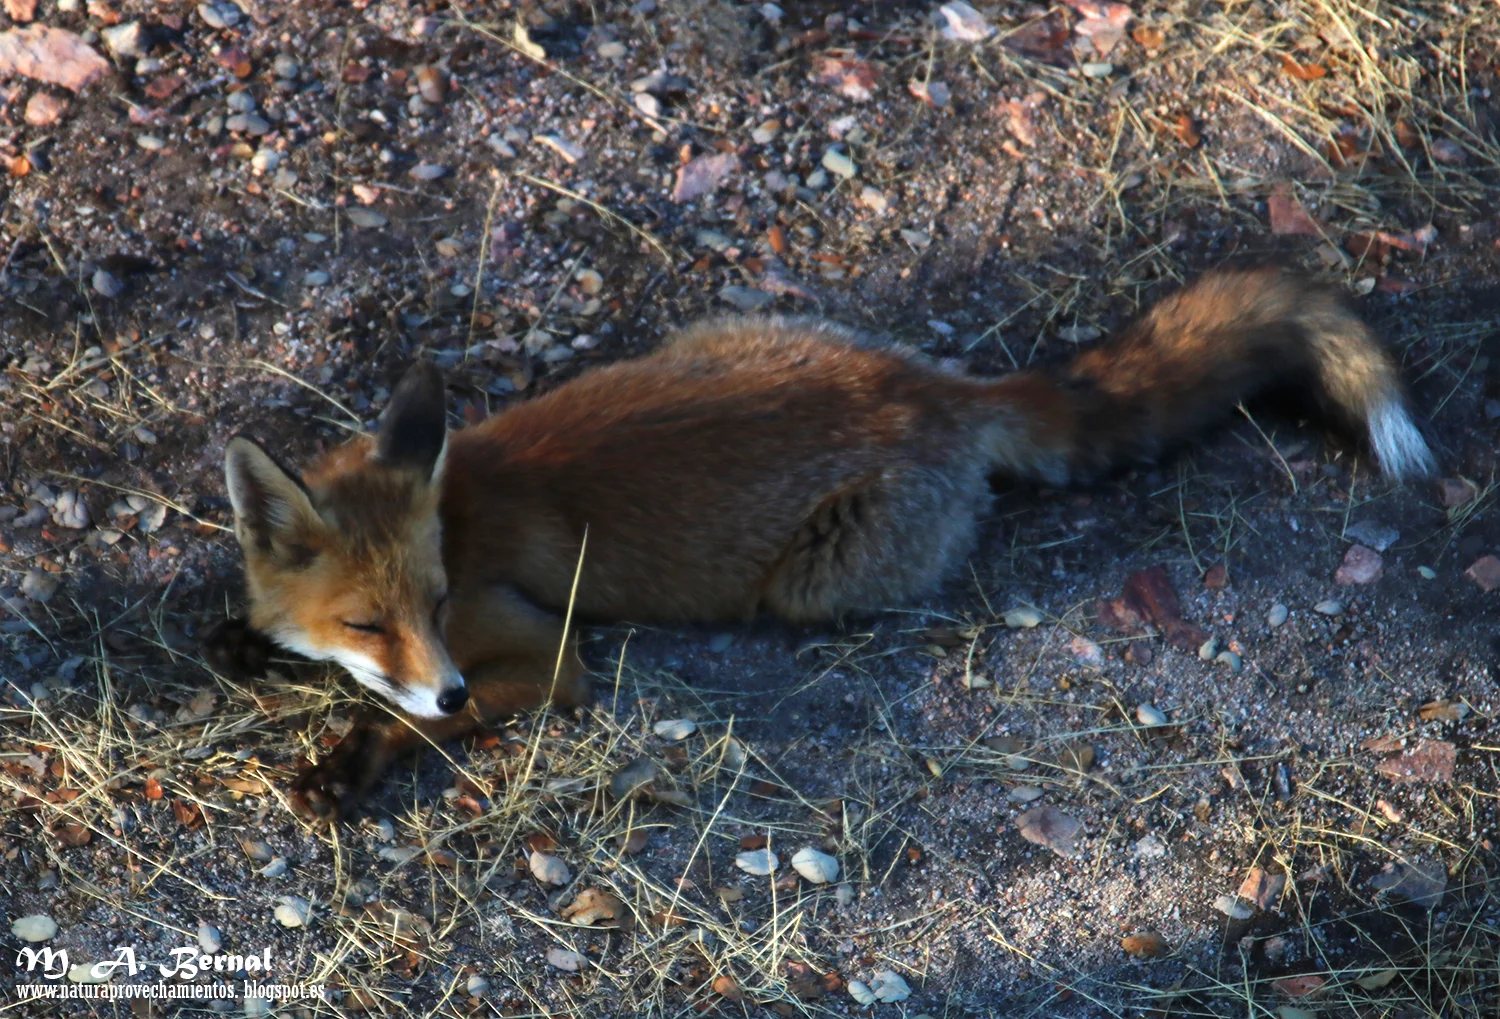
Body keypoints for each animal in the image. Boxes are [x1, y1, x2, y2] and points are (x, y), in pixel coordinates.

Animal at [216, 267, 1434, 818]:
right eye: (369, 618)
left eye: (434, 602)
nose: (455, 688)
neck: (461, 509)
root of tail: (938, 387)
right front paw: (246, 643)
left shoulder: (543, 656)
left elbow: (410, 721)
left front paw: (350, 762)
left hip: (812, 581)